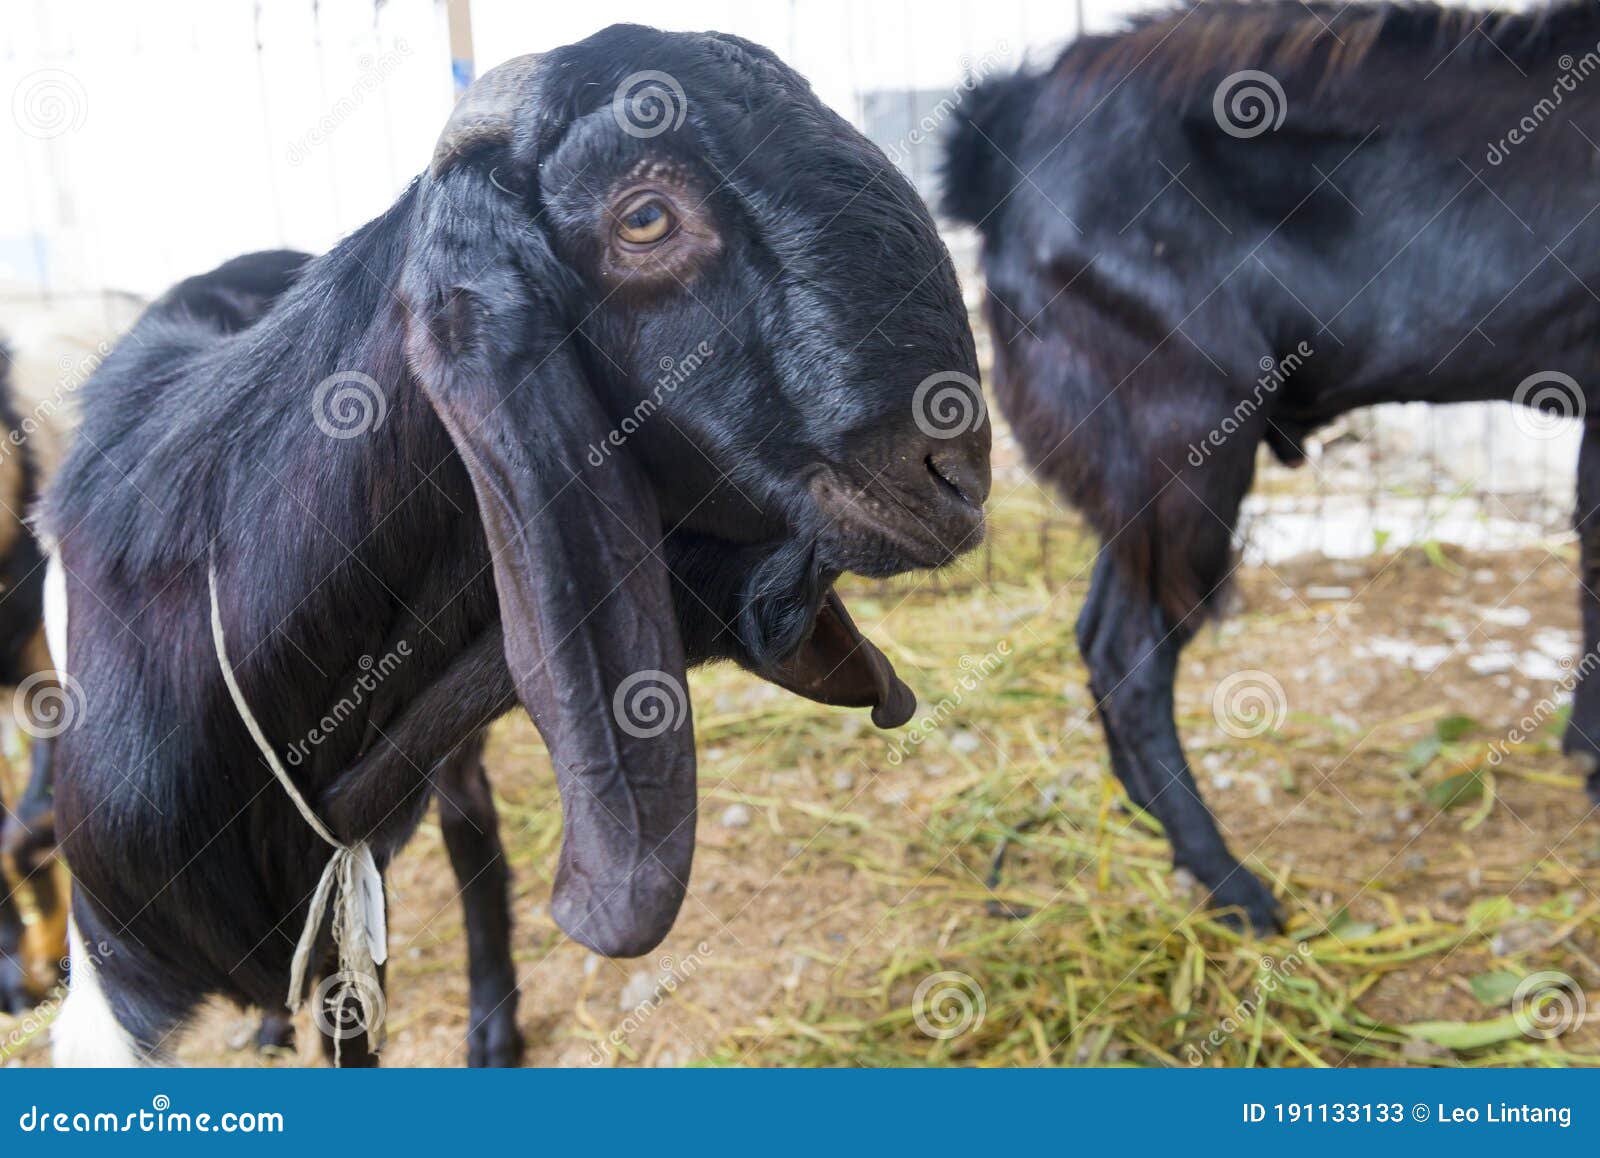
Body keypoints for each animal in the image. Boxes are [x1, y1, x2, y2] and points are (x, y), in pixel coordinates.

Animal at [945, 0, 1600, 932]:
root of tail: (1004, 126)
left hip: (1140, 471)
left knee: (1100, 633)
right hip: (1189, 436)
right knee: (1131, 655)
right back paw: (1230, 882)